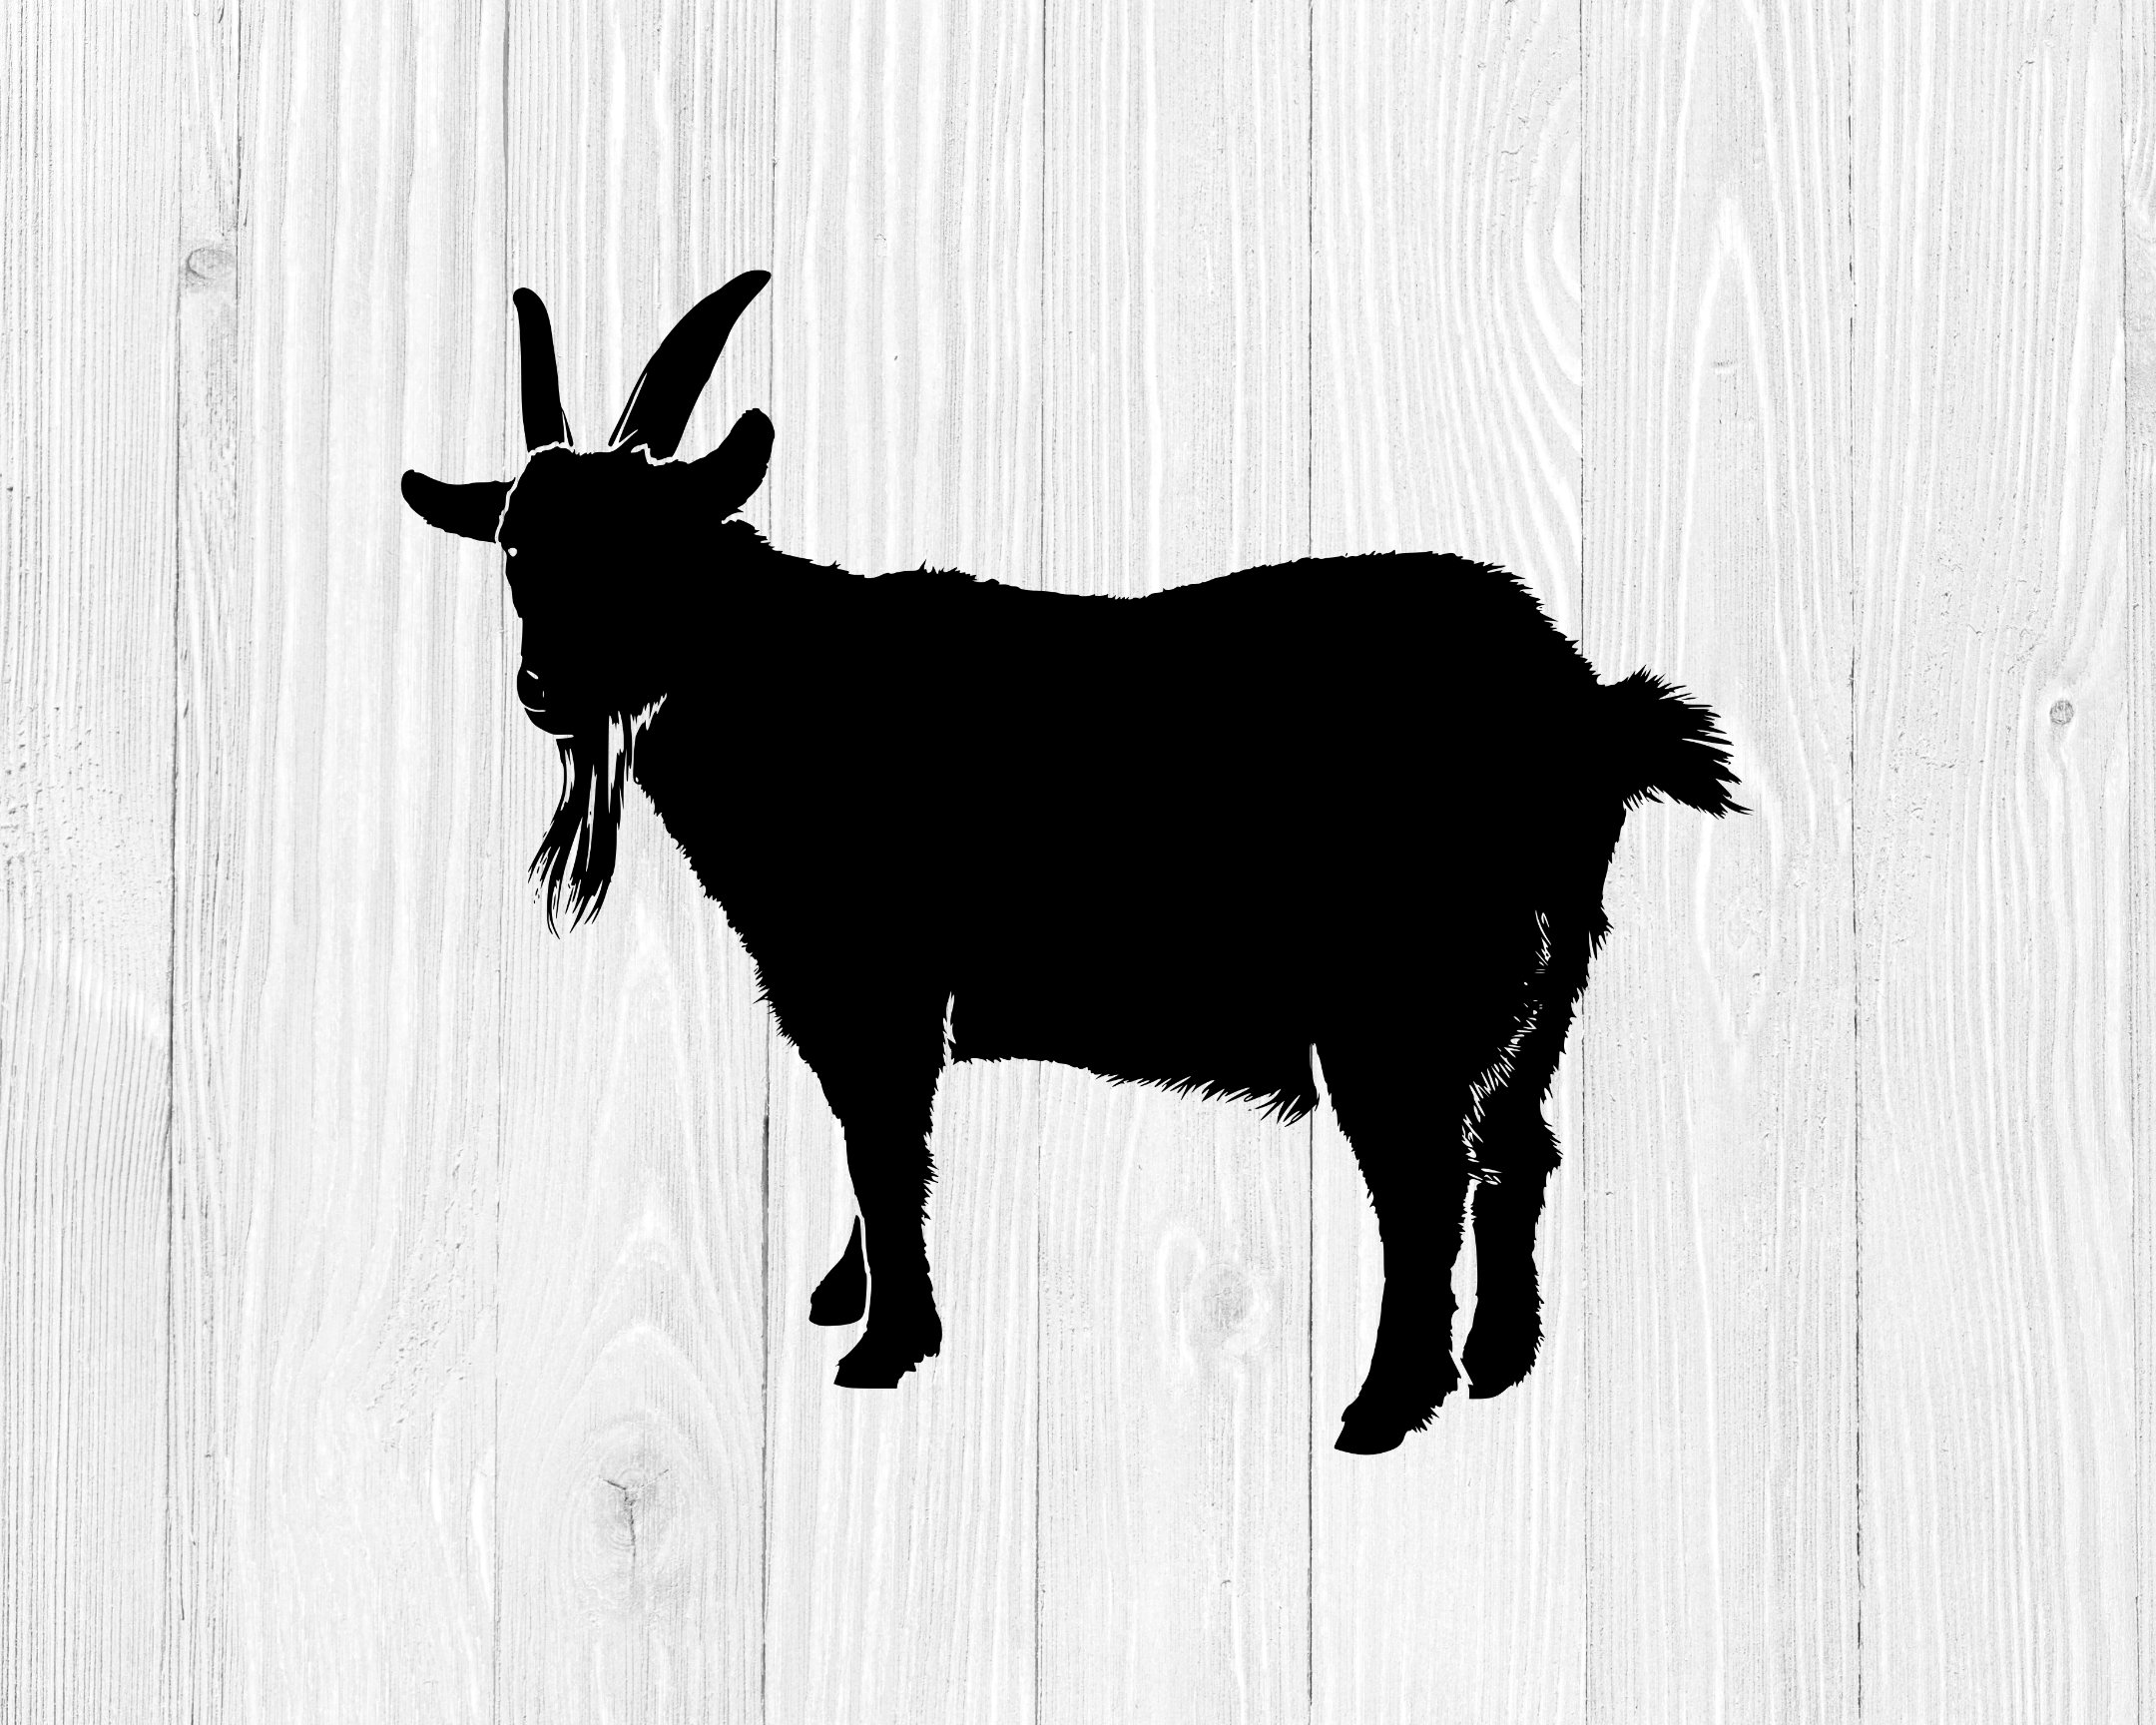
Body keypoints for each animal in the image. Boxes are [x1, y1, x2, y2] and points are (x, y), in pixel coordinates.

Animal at [401, 273, 1742, 1454]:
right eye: (517, 547)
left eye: (655, 544)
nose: (545, 685)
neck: (798, 685)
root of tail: (1584, 707)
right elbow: (865, 1142)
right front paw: (848, 1294)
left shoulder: (874, 981)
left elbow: (885, 1146)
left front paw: (886, 1343)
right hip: (1538, 991)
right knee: (1519, 1153)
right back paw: (1498, 1366)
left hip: (1400, 1003)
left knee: (1422, 1193)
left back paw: (1382, 1407)